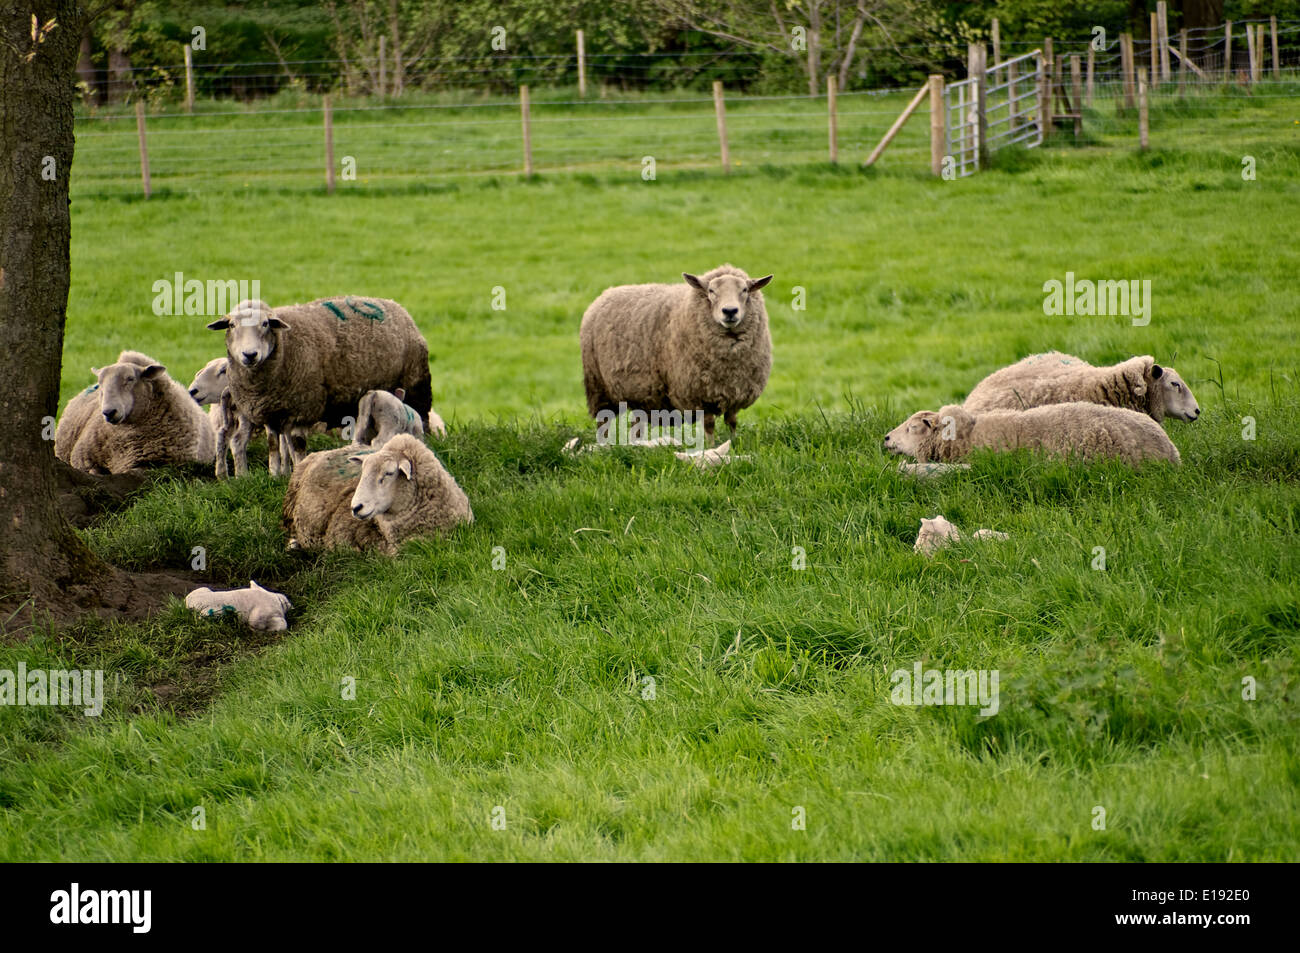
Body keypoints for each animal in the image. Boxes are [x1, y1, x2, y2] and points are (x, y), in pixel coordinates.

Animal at [207, 296, 432, 476]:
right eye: (232, 325)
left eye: (265, 324)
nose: (250, 355)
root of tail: (397, 307)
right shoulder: (270, 411)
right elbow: (273, 444)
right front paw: (275, 474)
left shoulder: (302, 408)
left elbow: (297, 444)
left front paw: (296, 471)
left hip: (417, 386)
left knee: (423, 420)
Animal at [580, 264, 773, 445]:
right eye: (711, 291)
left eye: (745, 290)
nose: (730, 311)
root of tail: (606, 292)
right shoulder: (698, 394)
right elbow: (709, 424)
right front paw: (712, 447)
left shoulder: (736, 391)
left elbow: (732, 421)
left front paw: (732, 443)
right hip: (598, 385)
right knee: (603, 421)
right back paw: (604, 445)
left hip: (641, 391)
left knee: (636, 423)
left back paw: (637, 444)